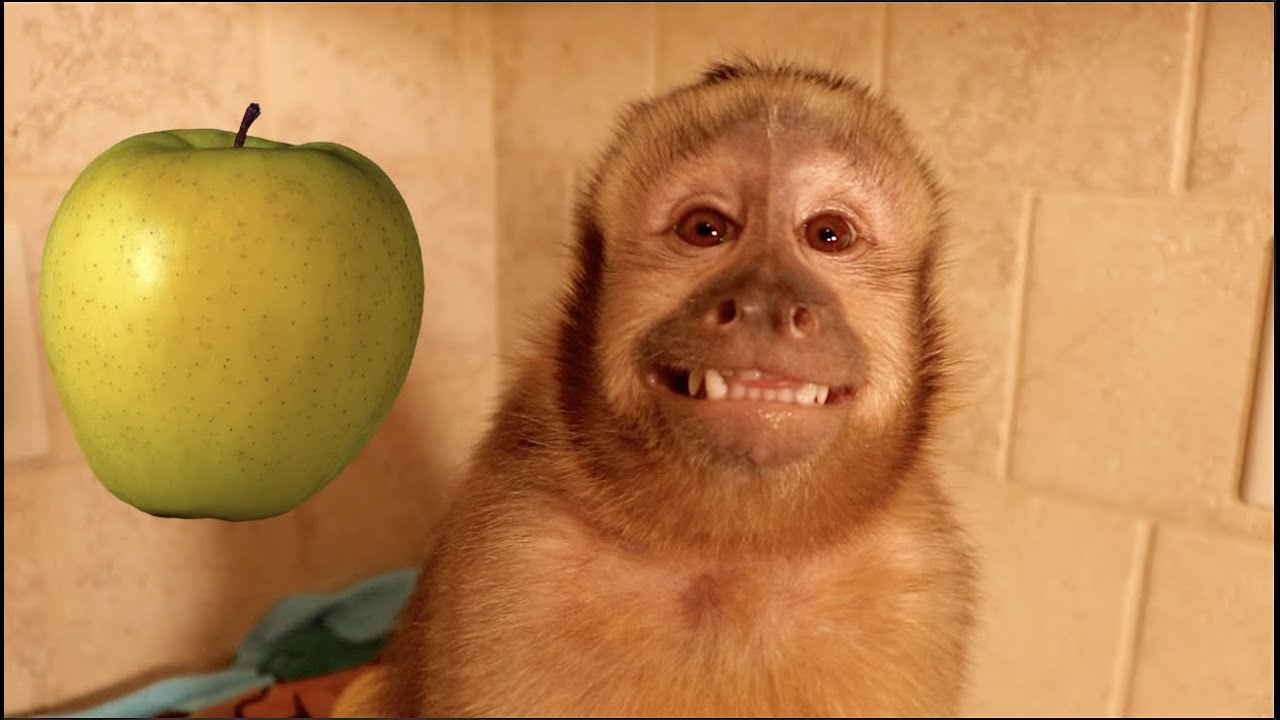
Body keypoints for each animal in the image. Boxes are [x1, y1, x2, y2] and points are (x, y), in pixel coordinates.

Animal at [333, 58, 977, 718]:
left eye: (828, 234)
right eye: (705, 228)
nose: (764, 304)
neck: (732, 561)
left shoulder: (917, 579)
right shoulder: (513, 554)